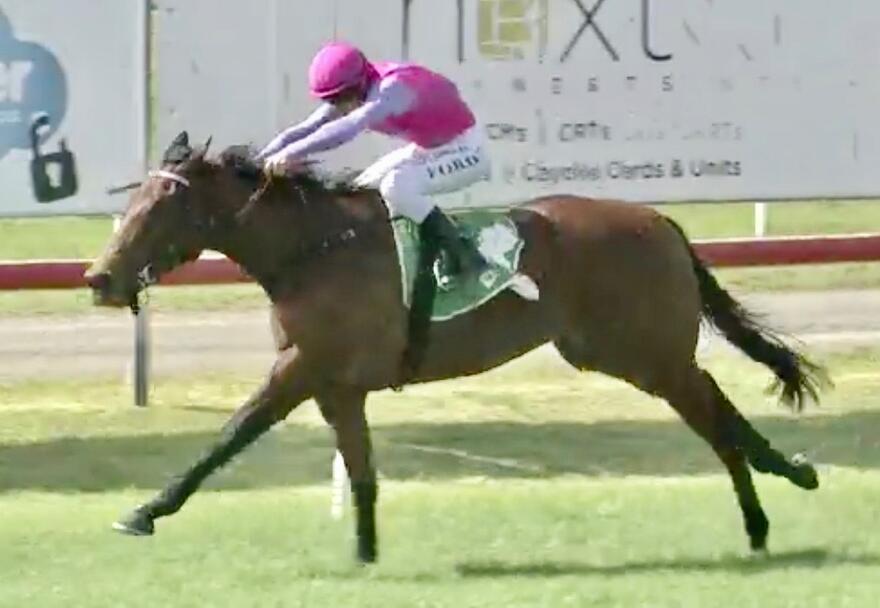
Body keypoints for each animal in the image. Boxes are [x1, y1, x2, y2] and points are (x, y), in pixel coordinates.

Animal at [85, 132, 826, 563]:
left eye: (156, 210)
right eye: (132, 205)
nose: (99, 277)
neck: (312, 248)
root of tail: (662, 221)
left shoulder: (301, 369)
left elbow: (229, 436)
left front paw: (145, 511)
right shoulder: (336, 385)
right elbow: (361, 471)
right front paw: (365, 553)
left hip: (646, 353)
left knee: (716, 422)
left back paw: (768, 508)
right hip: (616, 351)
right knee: (718, 408)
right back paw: (784, 483)